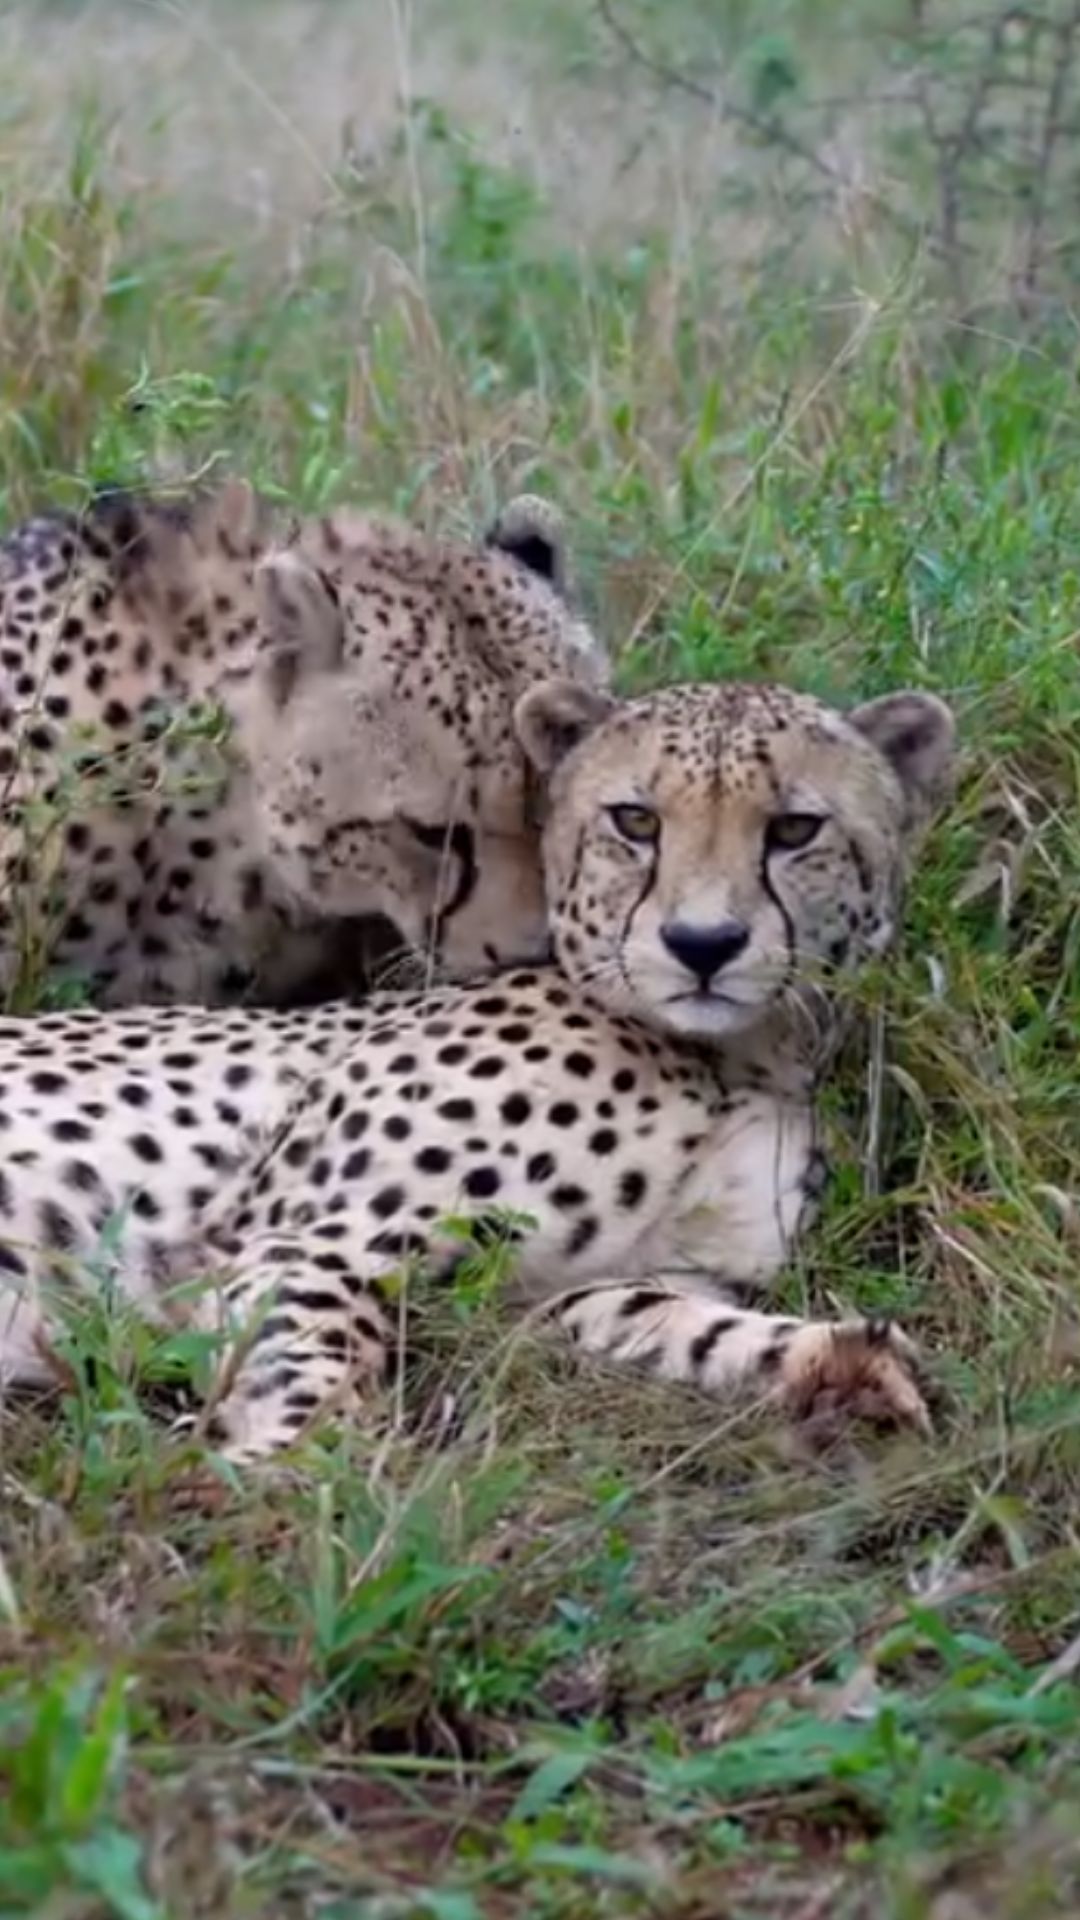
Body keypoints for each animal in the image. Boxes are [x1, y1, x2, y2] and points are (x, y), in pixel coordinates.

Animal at [0, 673, 955, 1462]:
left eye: (794, 830)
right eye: (636, 821)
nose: (703, 944)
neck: (738, 1057)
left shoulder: (571, 1292)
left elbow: (683, 1326)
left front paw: (838, 1361)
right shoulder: (303, 1234)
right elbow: (325, 1373)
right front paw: (291, 1485)